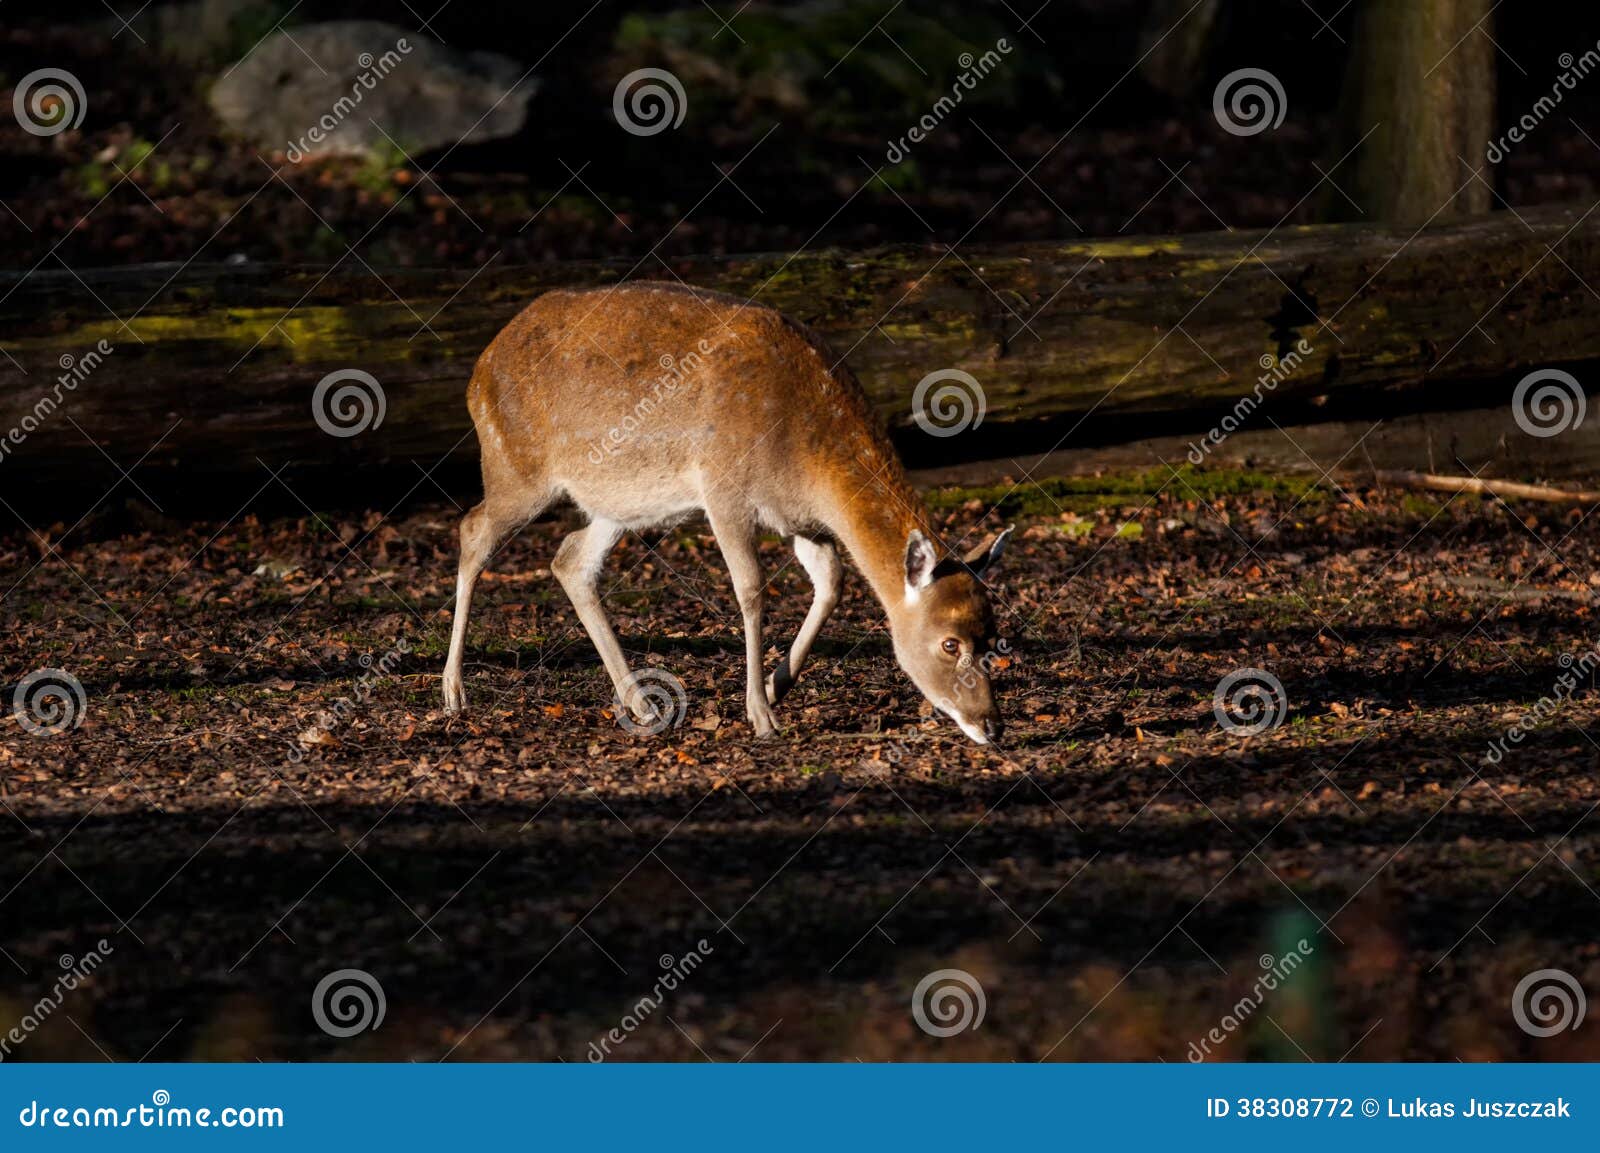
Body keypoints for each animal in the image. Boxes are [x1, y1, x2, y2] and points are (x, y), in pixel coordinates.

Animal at [441, 282, 1012, 743]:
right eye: (949, 644)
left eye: (992, 637)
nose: (992, 725)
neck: (803, 456)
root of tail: (477, 371)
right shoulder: (724, 492)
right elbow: (751, 588)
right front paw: (761, 715)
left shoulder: (797, 519)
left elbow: (832, 581)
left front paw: (779, 686)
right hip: (517, 468)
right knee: (472, 529)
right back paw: (453, 692)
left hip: (617, 503)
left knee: (570, 559)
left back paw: (640, 701)